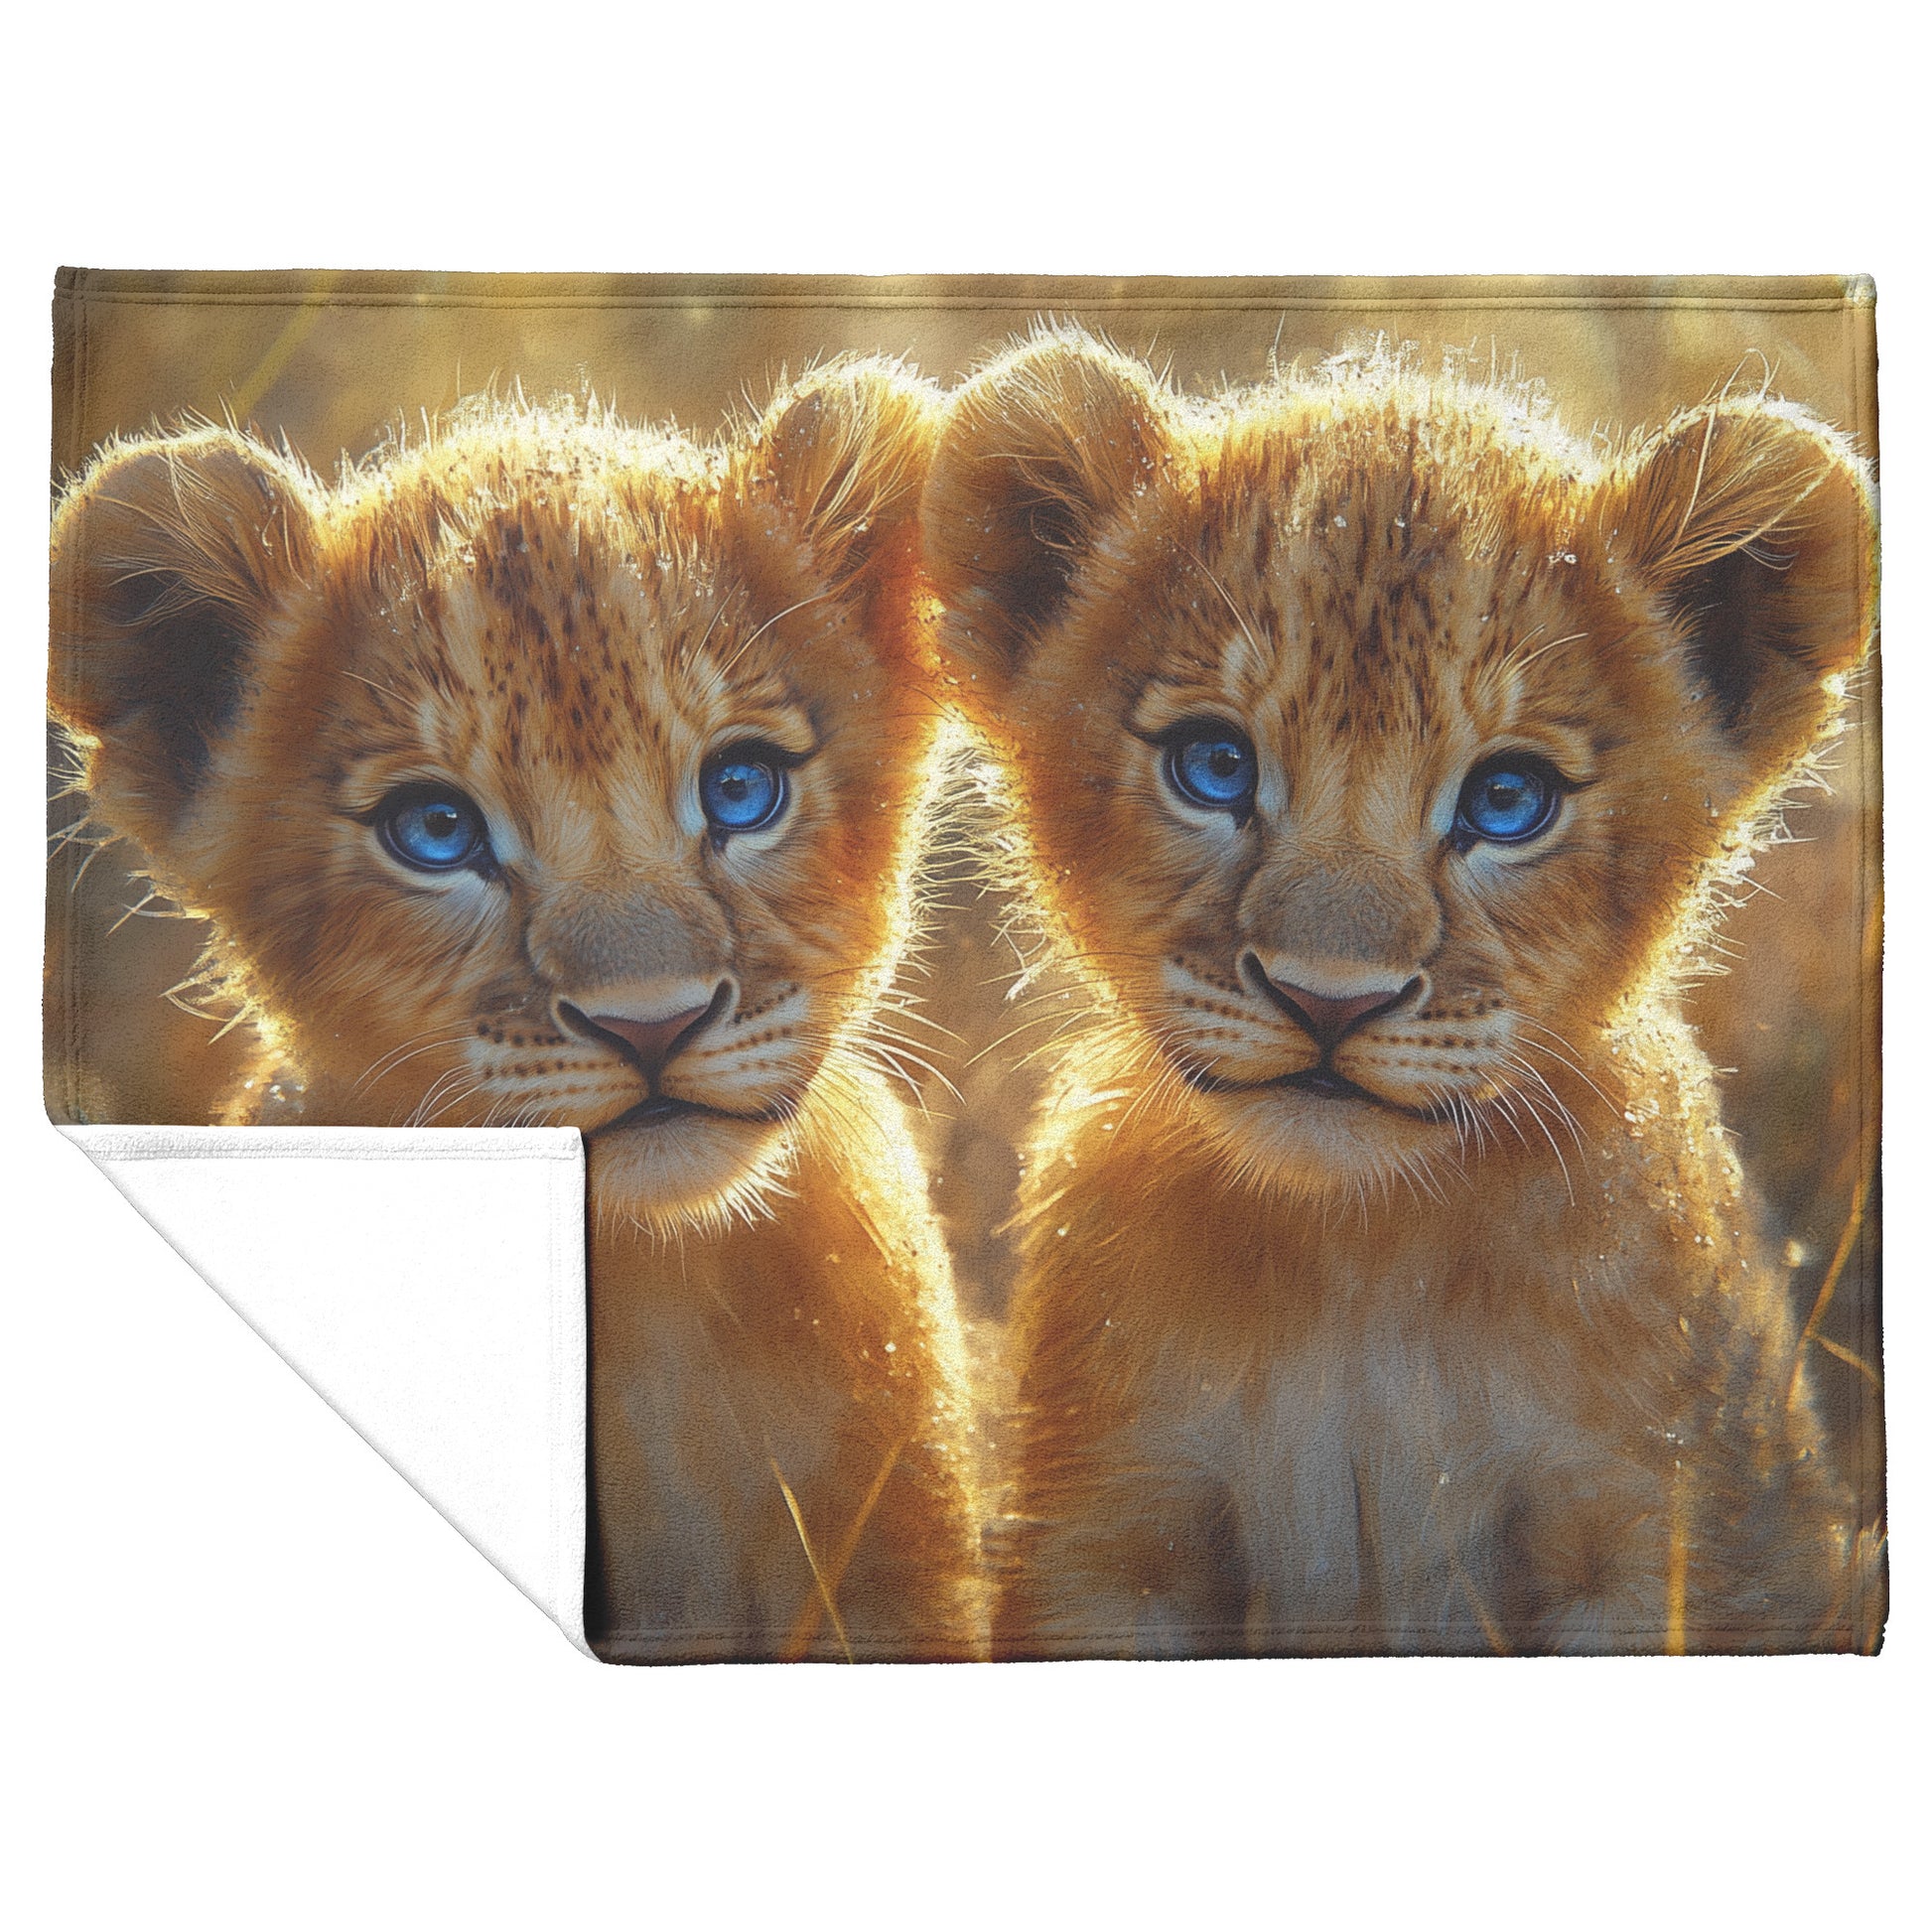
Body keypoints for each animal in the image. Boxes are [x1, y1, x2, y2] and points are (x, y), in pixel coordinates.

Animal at [921, 326, 1882, 1656]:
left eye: (1508, 799)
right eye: (1212, 765)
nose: (1329, 1001)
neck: (1356, 1251)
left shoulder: (1656, 1533)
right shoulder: (1104, 1531)